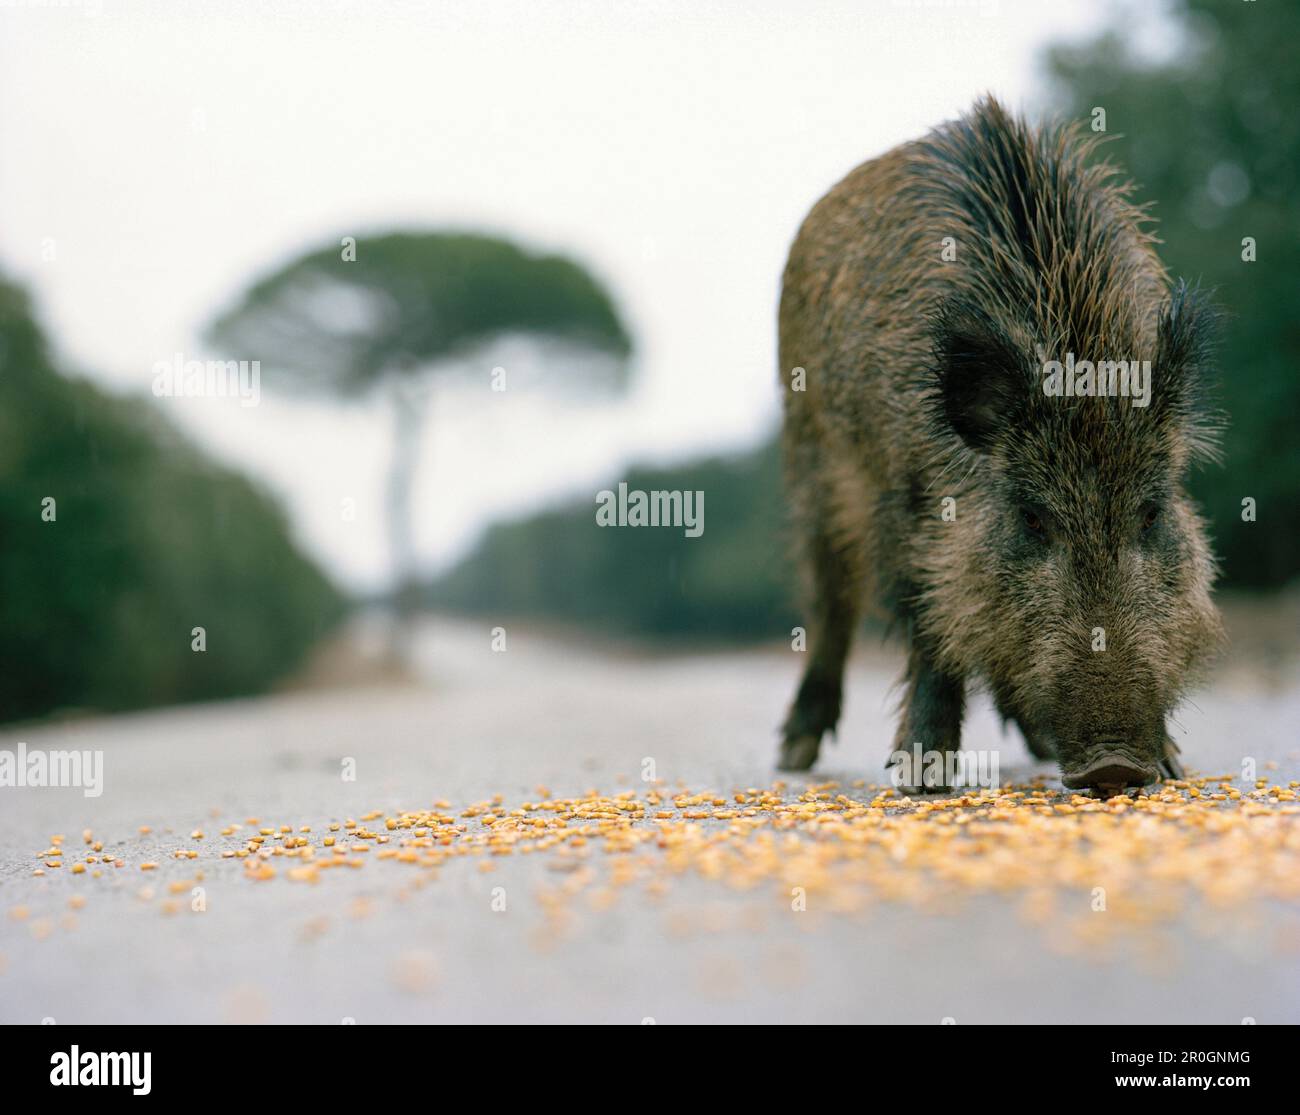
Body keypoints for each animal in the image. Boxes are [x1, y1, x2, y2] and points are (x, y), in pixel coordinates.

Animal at [776, 97, 1223, 795]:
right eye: (1032, 517)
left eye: (1152, 513)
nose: (1115, 764)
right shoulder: (905, 503)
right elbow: (932, 623)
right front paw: (922, 779)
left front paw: (1175, 766)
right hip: (812, 464)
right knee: (831, 602)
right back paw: (794, 753)